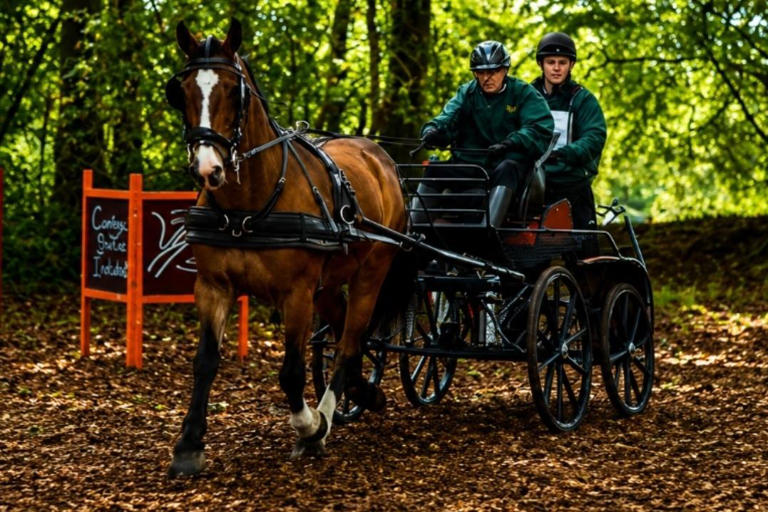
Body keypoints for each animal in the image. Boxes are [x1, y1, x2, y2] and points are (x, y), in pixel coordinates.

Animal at [164, 19, 407, 476]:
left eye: (232, 90)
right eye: (182, 90)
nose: (207, 168)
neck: (247, 207)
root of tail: (379, 155)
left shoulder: (296, 293)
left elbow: (291, 373)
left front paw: (310, 426)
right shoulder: (213, 286)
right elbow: (205, 362)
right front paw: (188, 444)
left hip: (373, 271)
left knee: (349, 341)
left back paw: (326, 418)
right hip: (329, 283)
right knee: (347, 331)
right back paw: (363, 393)